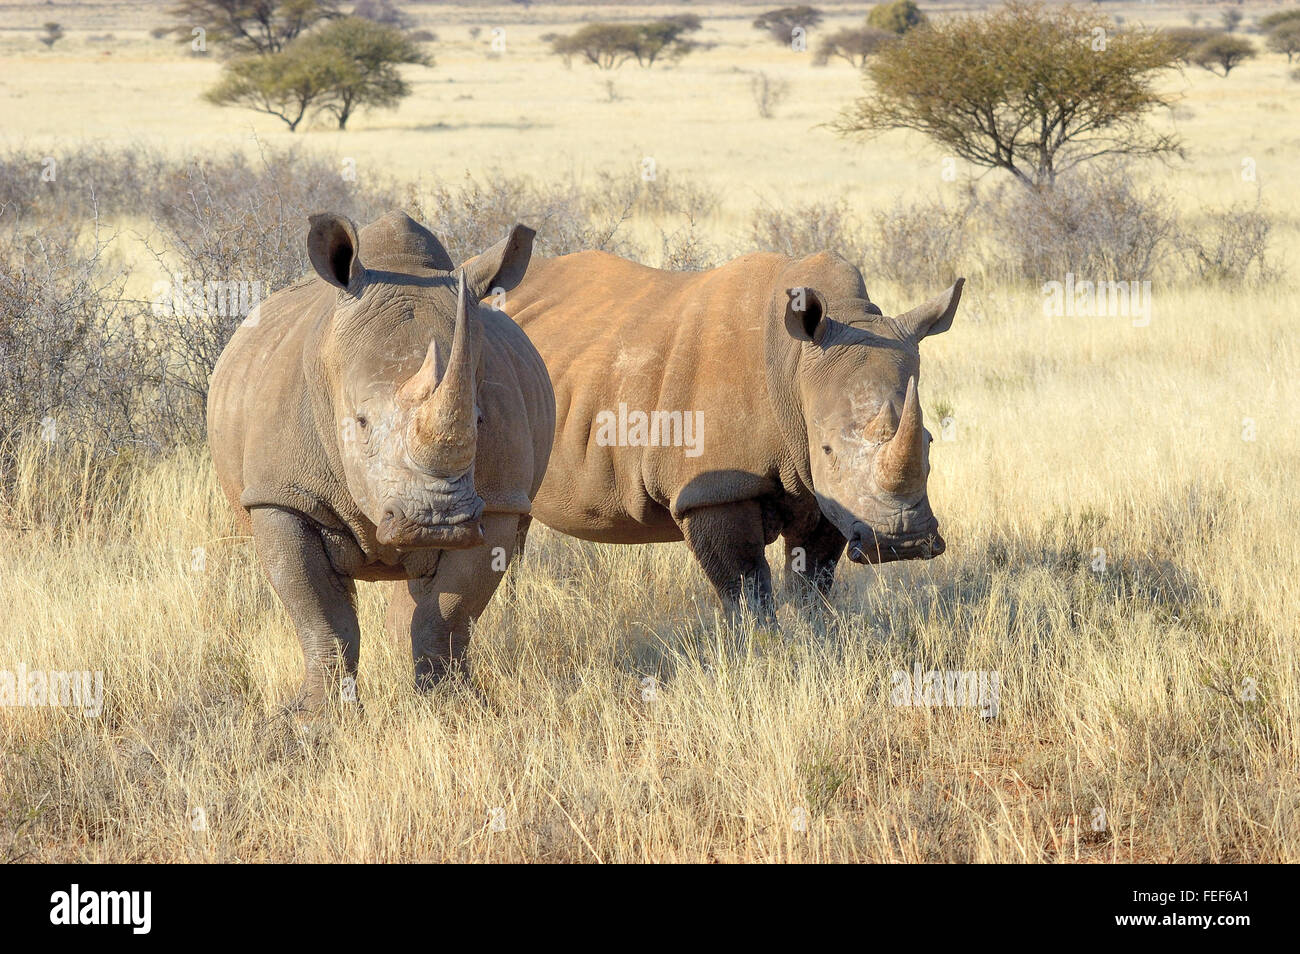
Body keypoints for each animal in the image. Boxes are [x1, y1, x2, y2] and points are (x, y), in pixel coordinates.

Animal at [208, 211, 554, 708]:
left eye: (479, 419)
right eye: (361, 421)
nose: (436, 521)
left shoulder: (499, 502)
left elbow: (448, 614)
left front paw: (449, 706)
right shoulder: (280, 495)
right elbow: (322, 617)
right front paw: (316, 715)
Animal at [499, 249, 963, 614]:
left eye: (929, 442)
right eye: (828, 448)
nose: (902, 542)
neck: (795, 364)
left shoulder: (828, 493)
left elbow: (813, 583)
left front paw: (817, 642)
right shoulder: (713, 490)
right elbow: (745, 589)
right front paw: (761, 655)